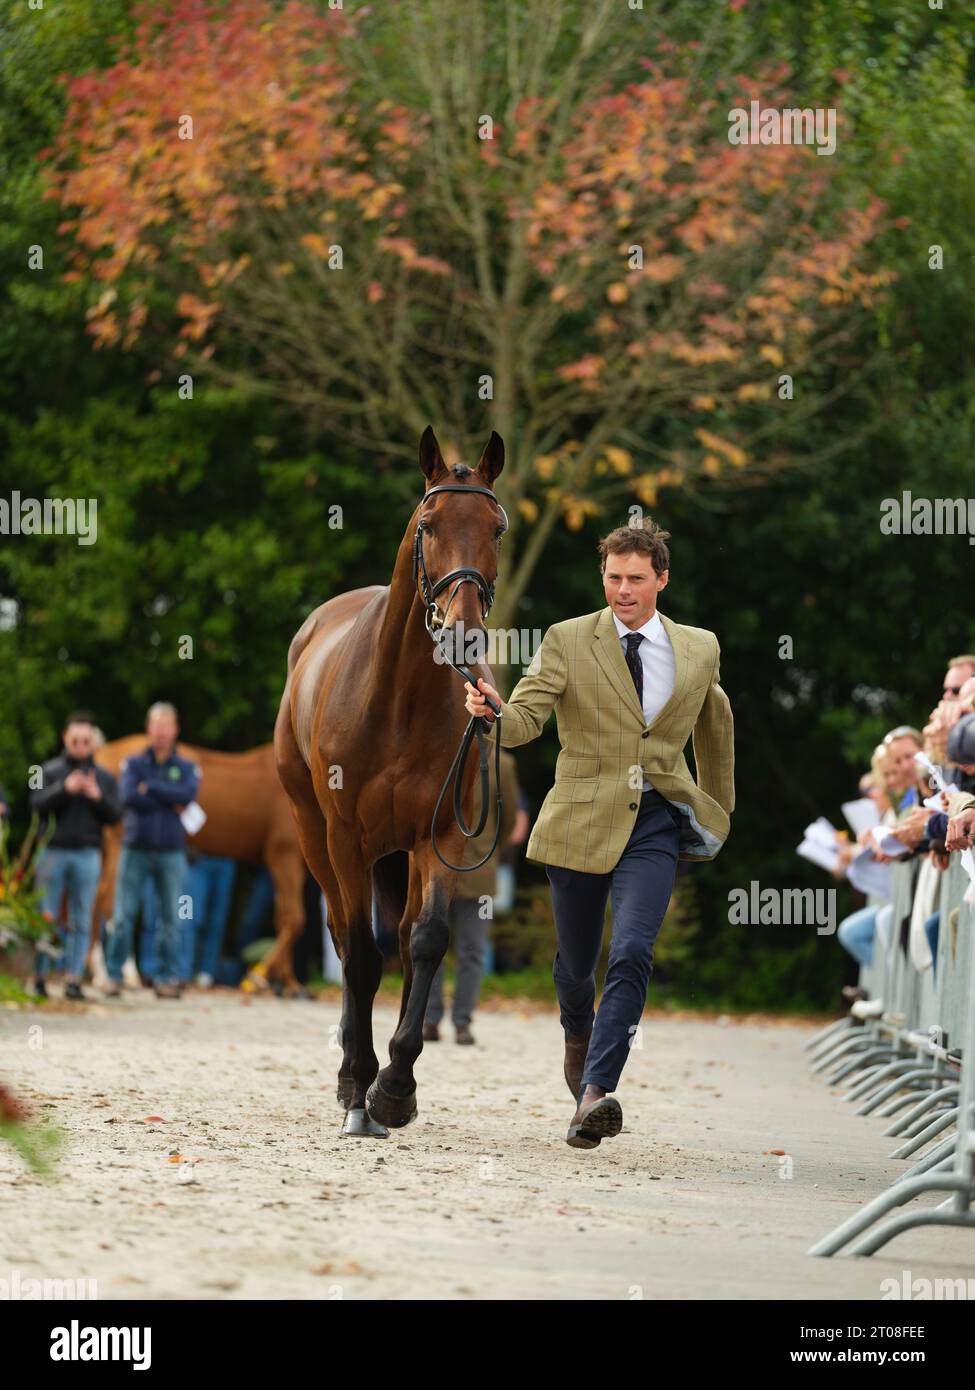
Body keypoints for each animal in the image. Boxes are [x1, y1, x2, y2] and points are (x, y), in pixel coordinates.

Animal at [92, 737, 308, 992]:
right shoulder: (284, 855)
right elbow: (295, 918)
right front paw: (262, 975)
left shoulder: (290, 862)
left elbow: (283, 917)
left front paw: (288, 981)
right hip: (122, 846)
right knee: (110, 900)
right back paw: (121, 973)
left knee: (97, 897)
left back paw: (98, 971)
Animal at [274, 426, 506, 1135]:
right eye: (428, 525)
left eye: (497, 528)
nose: (463, 635)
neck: (399, 698)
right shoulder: (346, 838)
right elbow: (359, 953)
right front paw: (359, 1085)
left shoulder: (442, 837)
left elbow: (425, 942)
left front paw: (396, 1087)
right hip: (315, 837)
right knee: (345, 936)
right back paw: (351, 1074)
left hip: (396, 852)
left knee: (398, 939)